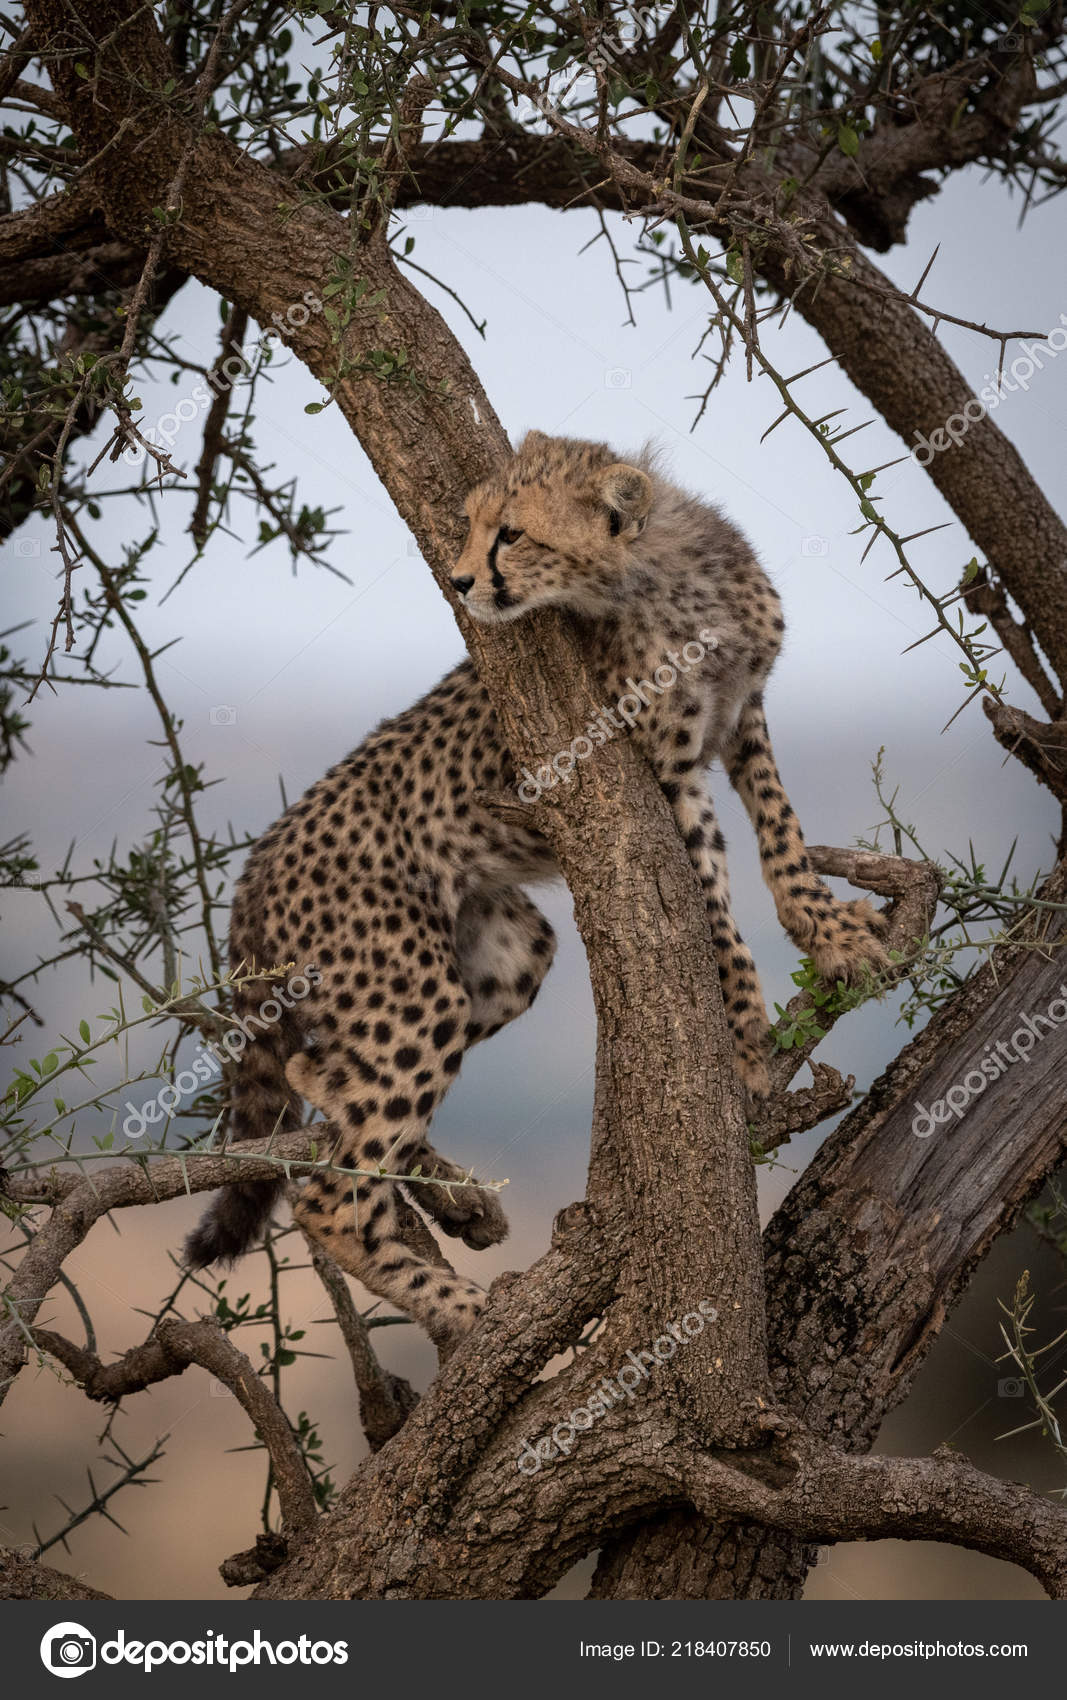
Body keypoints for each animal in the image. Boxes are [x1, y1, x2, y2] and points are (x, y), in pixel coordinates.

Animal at [185, 430, 887, 1353]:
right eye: (472, 524)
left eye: (510, 533)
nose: (457, 580)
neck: (661, 574)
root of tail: (255, 866)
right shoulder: (662, 774)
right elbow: (712, 904)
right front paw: (744, 1035)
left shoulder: (743, 718)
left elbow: (782, 830)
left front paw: (826, 931)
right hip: (413, 995)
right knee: (333, 1195)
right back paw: (474, 1314)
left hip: (504, 958)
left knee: (318, 1077)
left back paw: (456, 1200)